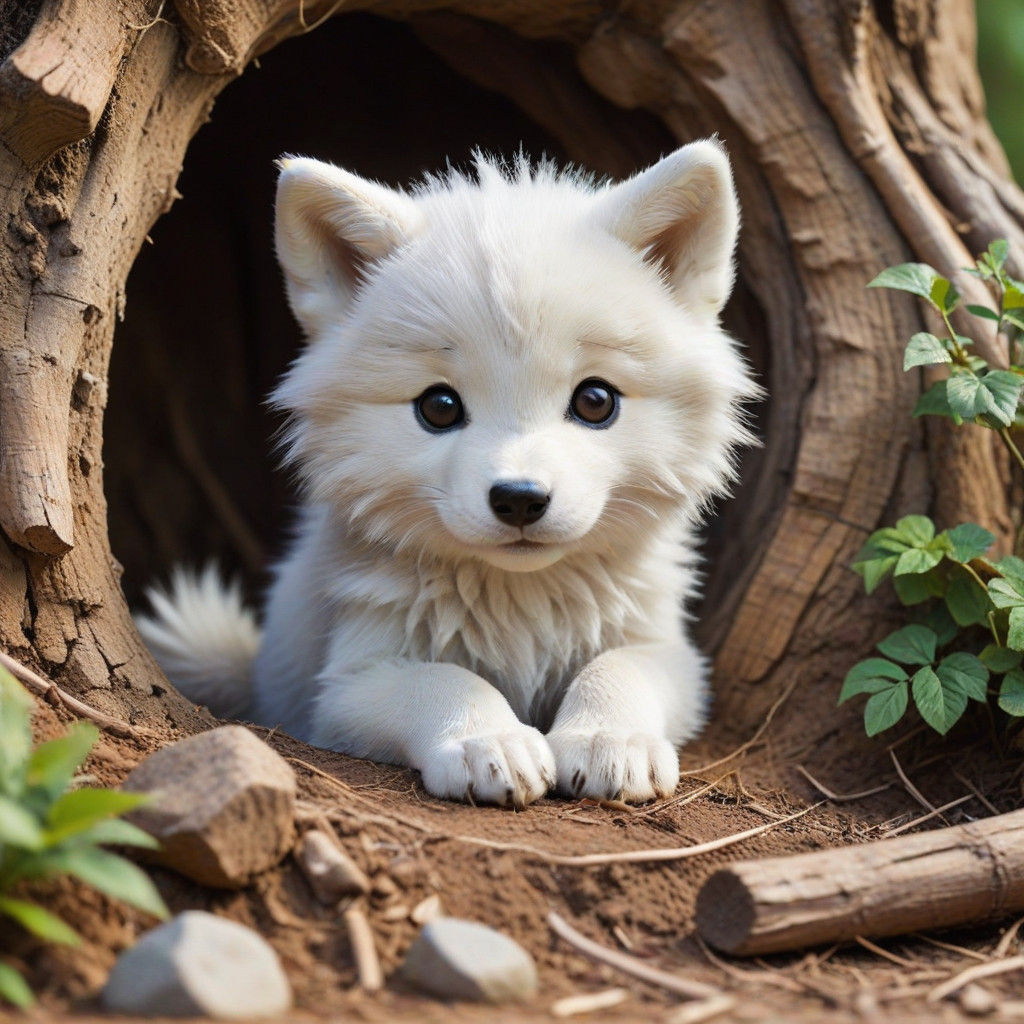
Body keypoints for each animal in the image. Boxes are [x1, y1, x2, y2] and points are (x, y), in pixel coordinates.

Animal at [137, 140, 756, 807]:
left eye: (596, 401)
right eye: (439, 406)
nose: (519, 499)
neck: (520, 601)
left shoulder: (672, 651)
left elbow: (619, 666)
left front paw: (608, 740)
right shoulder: (346, 683)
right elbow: (443, 678)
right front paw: (488, 742)